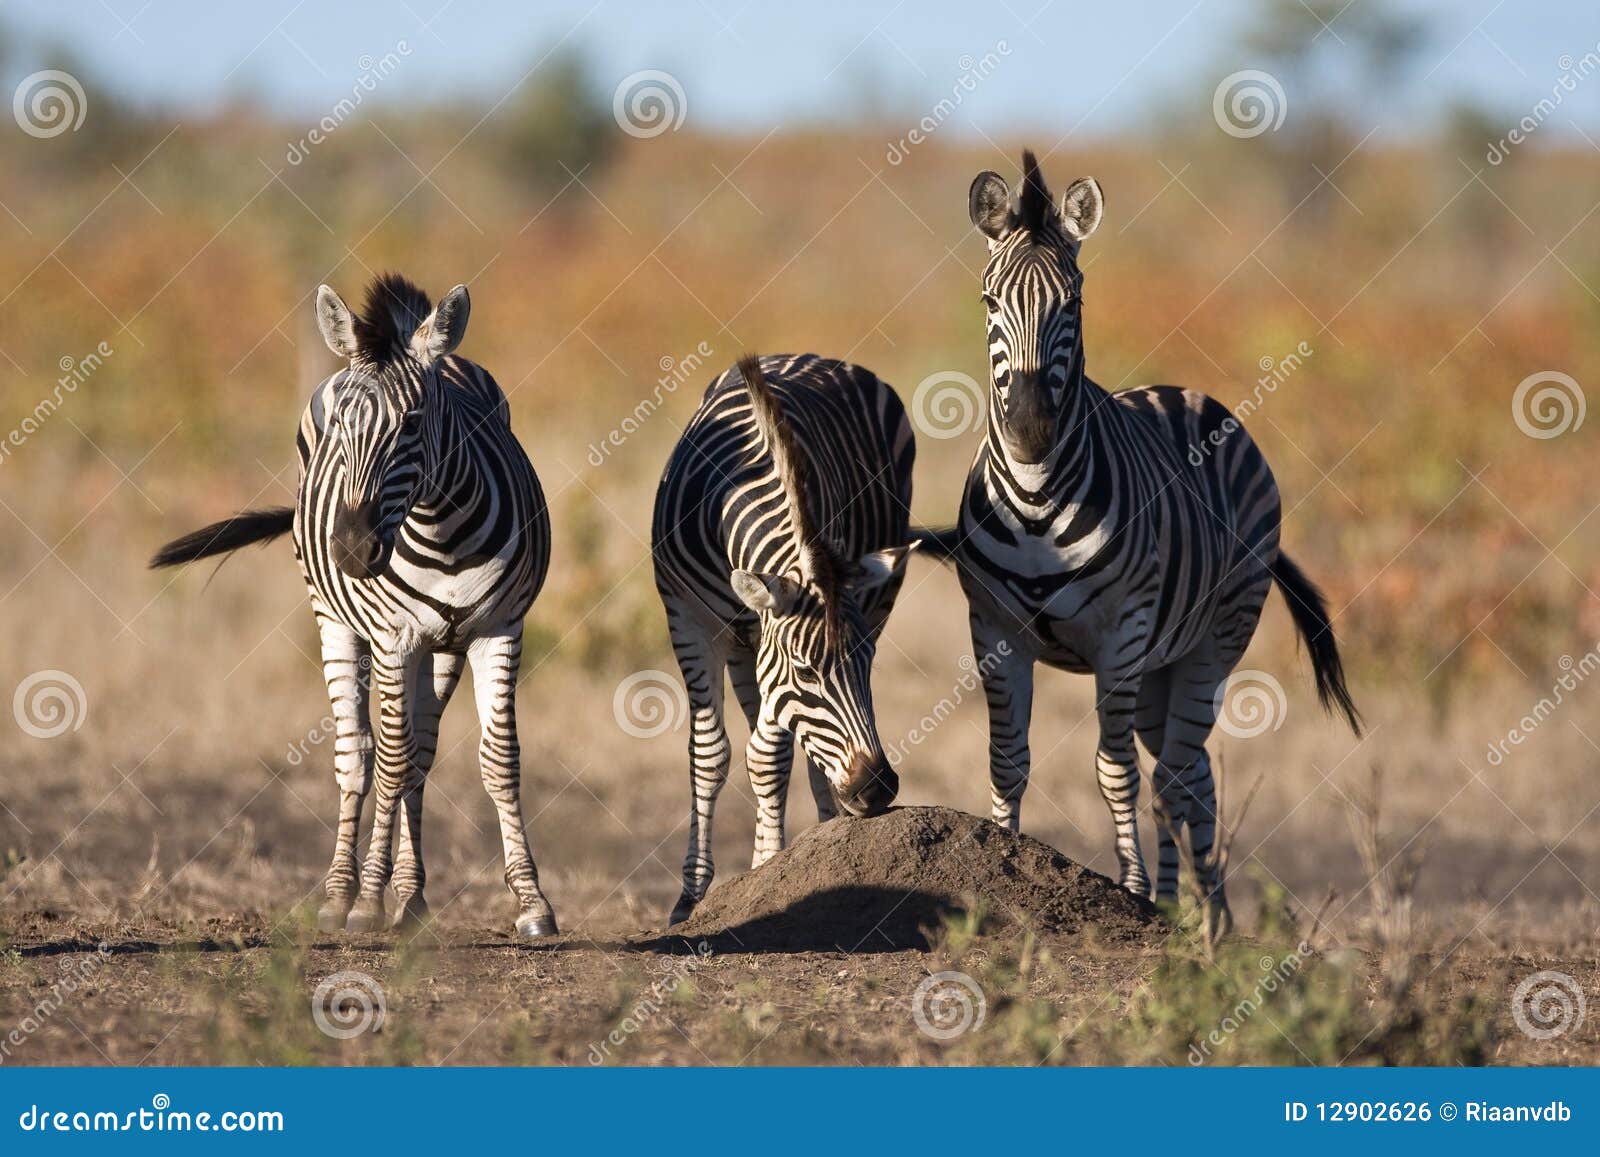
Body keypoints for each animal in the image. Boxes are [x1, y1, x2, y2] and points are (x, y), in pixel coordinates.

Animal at [150, 272, 559, 938]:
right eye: (341, 422)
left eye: (413, 422)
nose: (349, 548)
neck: (442, 528)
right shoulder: (394, 637)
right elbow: (387, 761)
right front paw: (368, 899)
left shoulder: (499, 629)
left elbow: (496, 759)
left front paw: (531, 902)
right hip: (335, 623)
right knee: (359, 753)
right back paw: (341, 893)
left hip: (441, 648)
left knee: (421, 752)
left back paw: (412, 898)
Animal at [651, 353, 916, 924]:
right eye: (806, 670)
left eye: (868, 665)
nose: (877, 790)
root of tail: (819, 358)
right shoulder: (689, 620)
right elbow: (713, 754)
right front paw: (691, 899)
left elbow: (770, 757)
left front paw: (770, 868)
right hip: (743, 647)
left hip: (876, 595)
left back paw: (824, 828)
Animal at [915, 152, 1359, 933]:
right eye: (989, 302)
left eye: (1073, 305)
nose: (1029, 427)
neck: (1036, 502)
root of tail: (1189, 394)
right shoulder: (994, 628)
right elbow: (1008, 759)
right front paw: (999, 858)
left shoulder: (1119, 634)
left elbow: (1112, 770)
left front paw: (1131, 887)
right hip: (1161, 664)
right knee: (1193, 774)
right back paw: (1203, 918)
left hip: (1212, 640)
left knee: (1174, 775)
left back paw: (1190, 916)